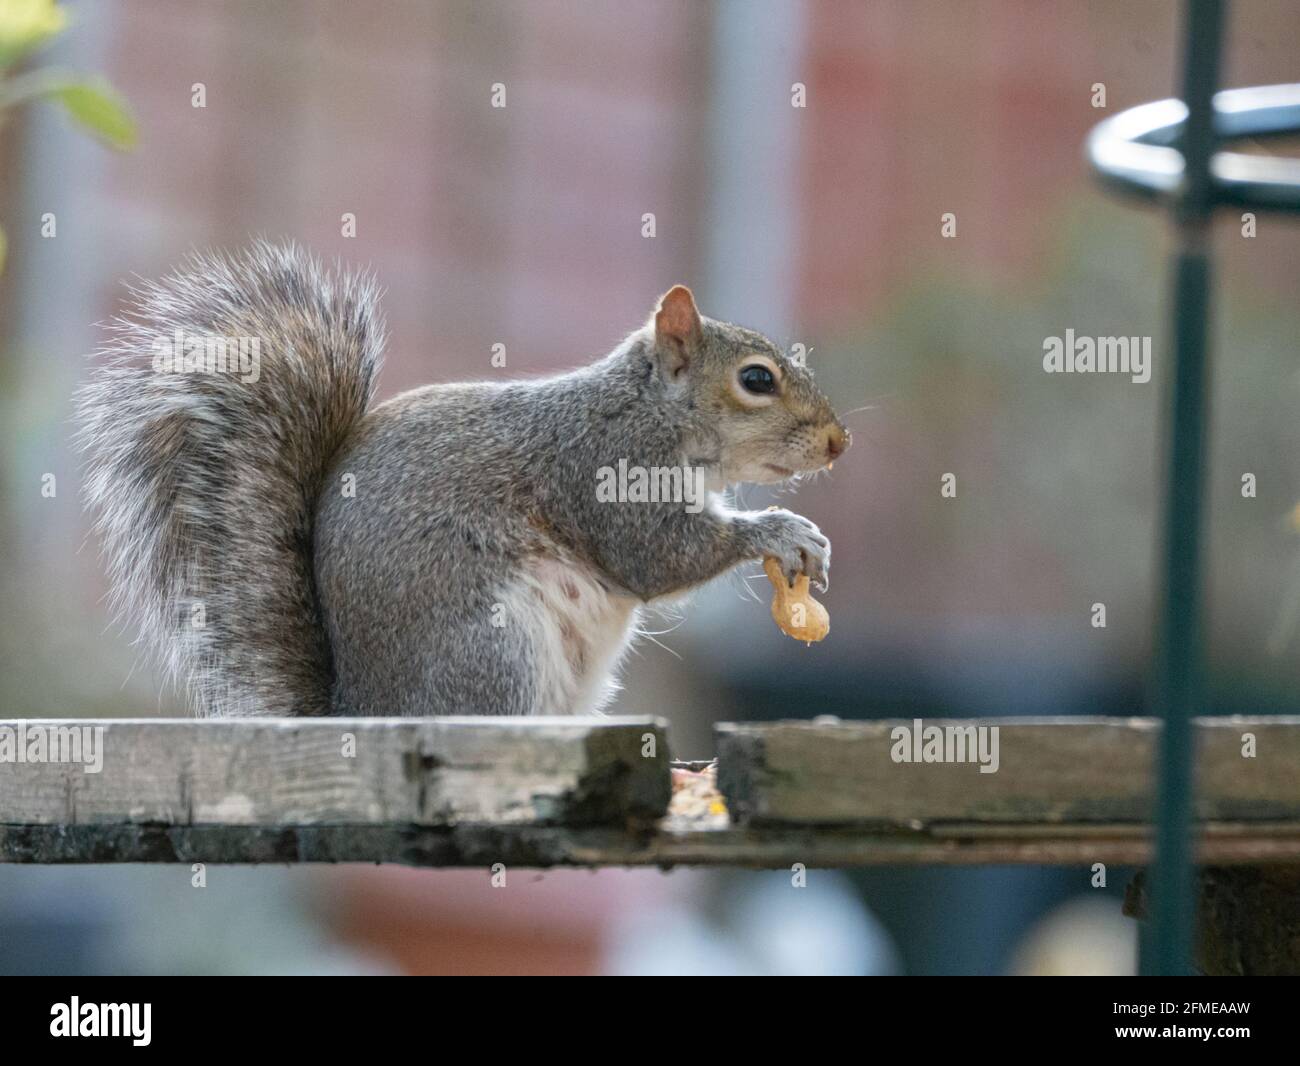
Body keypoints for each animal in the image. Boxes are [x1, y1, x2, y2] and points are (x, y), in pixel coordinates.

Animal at [75, 241, 849, 718]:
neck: (649, 409)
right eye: (756, 380)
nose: (839, 443)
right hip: (494, 647)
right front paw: (780, 532)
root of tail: (361, 713)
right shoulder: (607, 469)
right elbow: (659, 557)